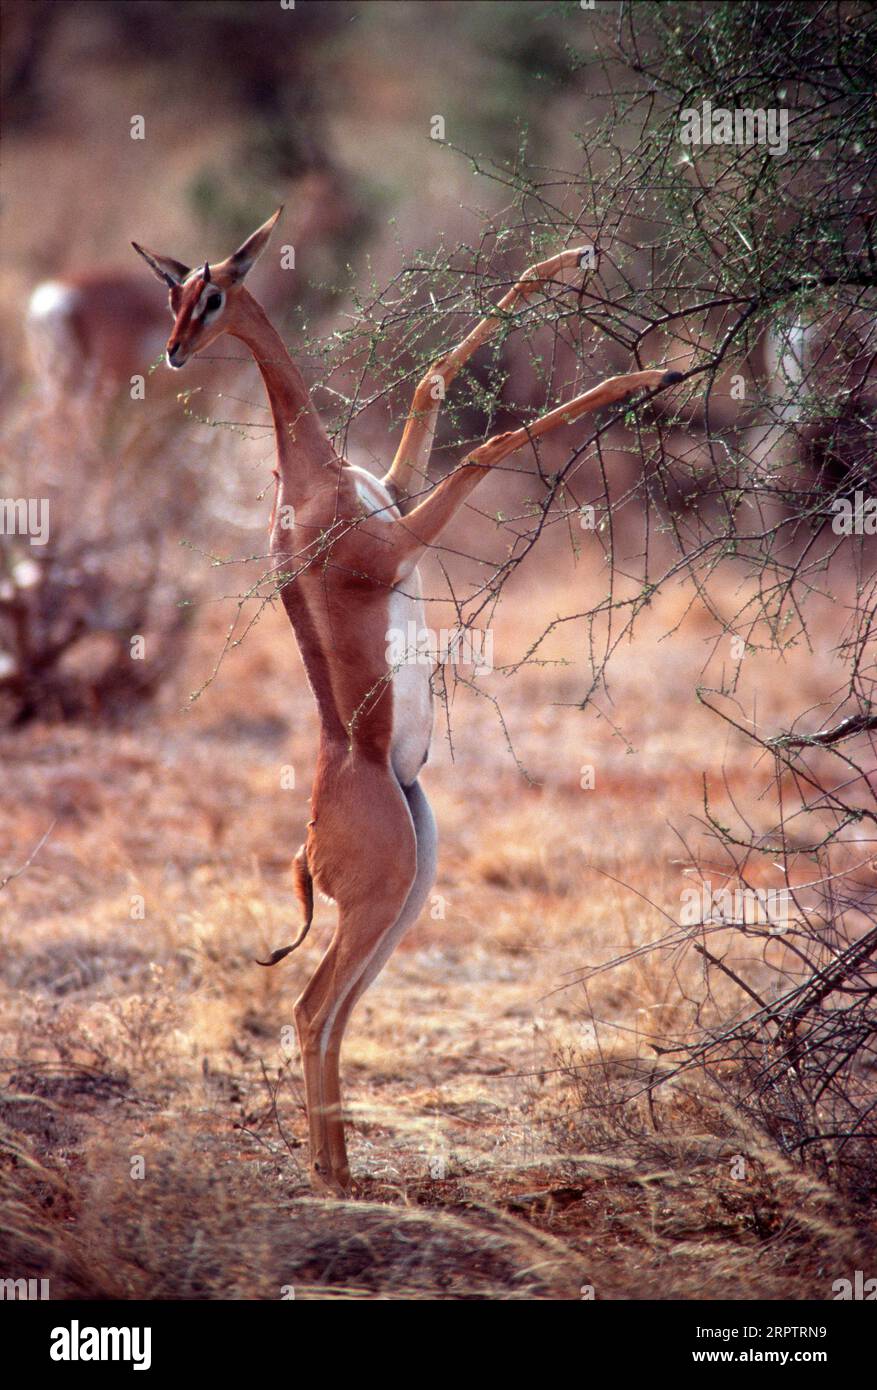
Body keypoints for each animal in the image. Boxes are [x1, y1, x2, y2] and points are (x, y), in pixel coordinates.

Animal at [133, 210, 681, 1196]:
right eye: (178, 298)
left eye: (209, 293)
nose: (173, 350)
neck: (306, 480)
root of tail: (309, 842)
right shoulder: (407, 533)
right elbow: (489, 443)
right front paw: (656, 373)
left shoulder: (401, 491)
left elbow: (431, 377)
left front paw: (572, 260)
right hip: (382, 899)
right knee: (312, 1009)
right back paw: (332, 1178)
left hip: (409, 892)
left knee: (334, 1012)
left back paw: (344, 1168)